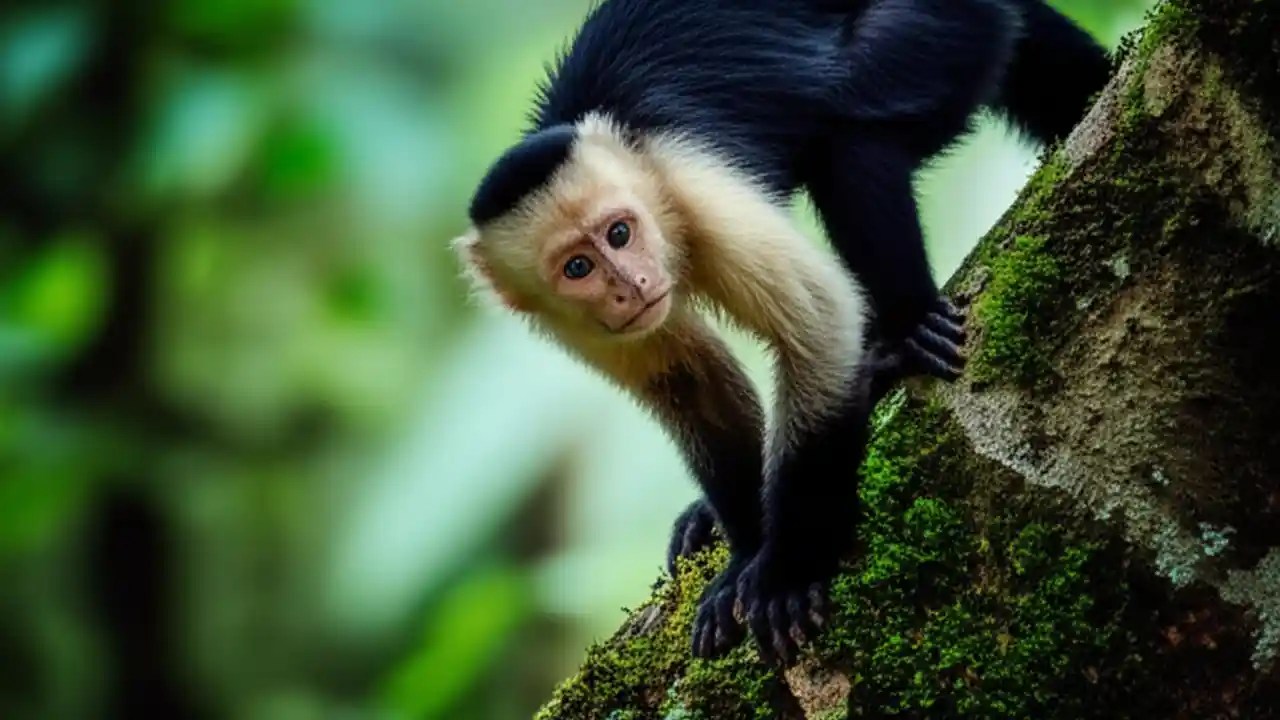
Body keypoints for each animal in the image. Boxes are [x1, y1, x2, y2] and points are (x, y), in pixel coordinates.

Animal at [451, 0, 1111, 664]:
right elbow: (690, 387)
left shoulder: (693, 185)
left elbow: (821, 320)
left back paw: (901, 334)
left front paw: (789, 567)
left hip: (948, 27)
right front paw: (743, 548)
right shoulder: (566, 316)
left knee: (847, 141)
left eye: (619, 233)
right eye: (578, 268)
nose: (631, 285)